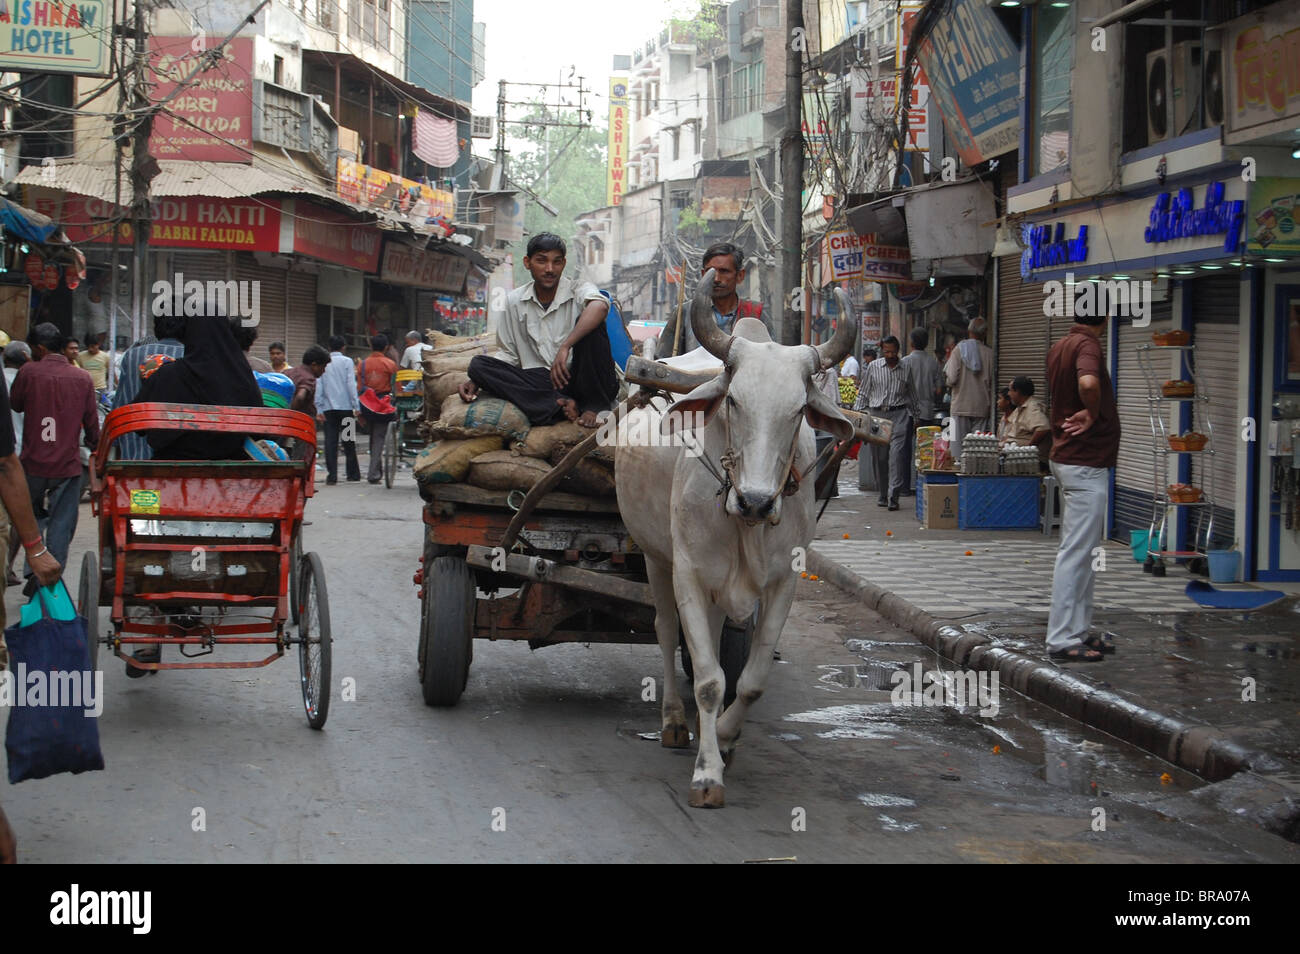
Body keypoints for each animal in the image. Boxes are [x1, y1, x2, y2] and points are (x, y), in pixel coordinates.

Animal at [615, 271, 857, 807]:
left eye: (798, 411)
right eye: (733, 400)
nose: (757, 502)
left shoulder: (783, 582)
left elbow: (750, 680)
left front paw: (725, 738)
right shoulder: (688, 573)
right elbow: (709, 681)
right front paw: (707, 774)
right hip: (656, 557)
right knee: (666, 631)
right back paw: (673, 720)